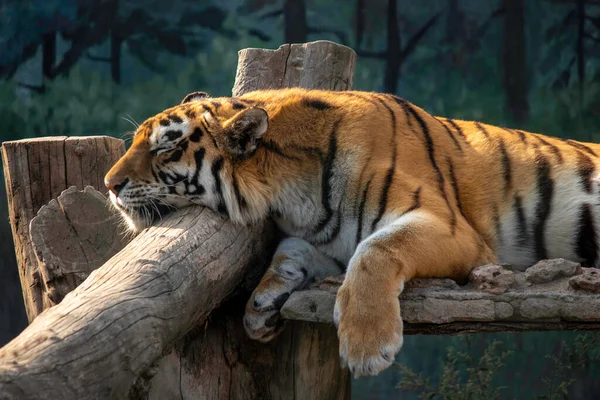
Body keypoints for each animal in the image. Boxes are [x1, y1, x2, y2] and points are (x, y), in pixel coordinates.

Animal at [103, 87, 600, 378]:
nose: (109, 184)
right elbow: (290, 250)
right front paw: (262, 305)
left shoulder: (450, 227)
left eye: (165, 147)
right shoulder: (323, 236)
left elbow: (378, 247)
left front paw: (366, 345)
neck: (291, 191)